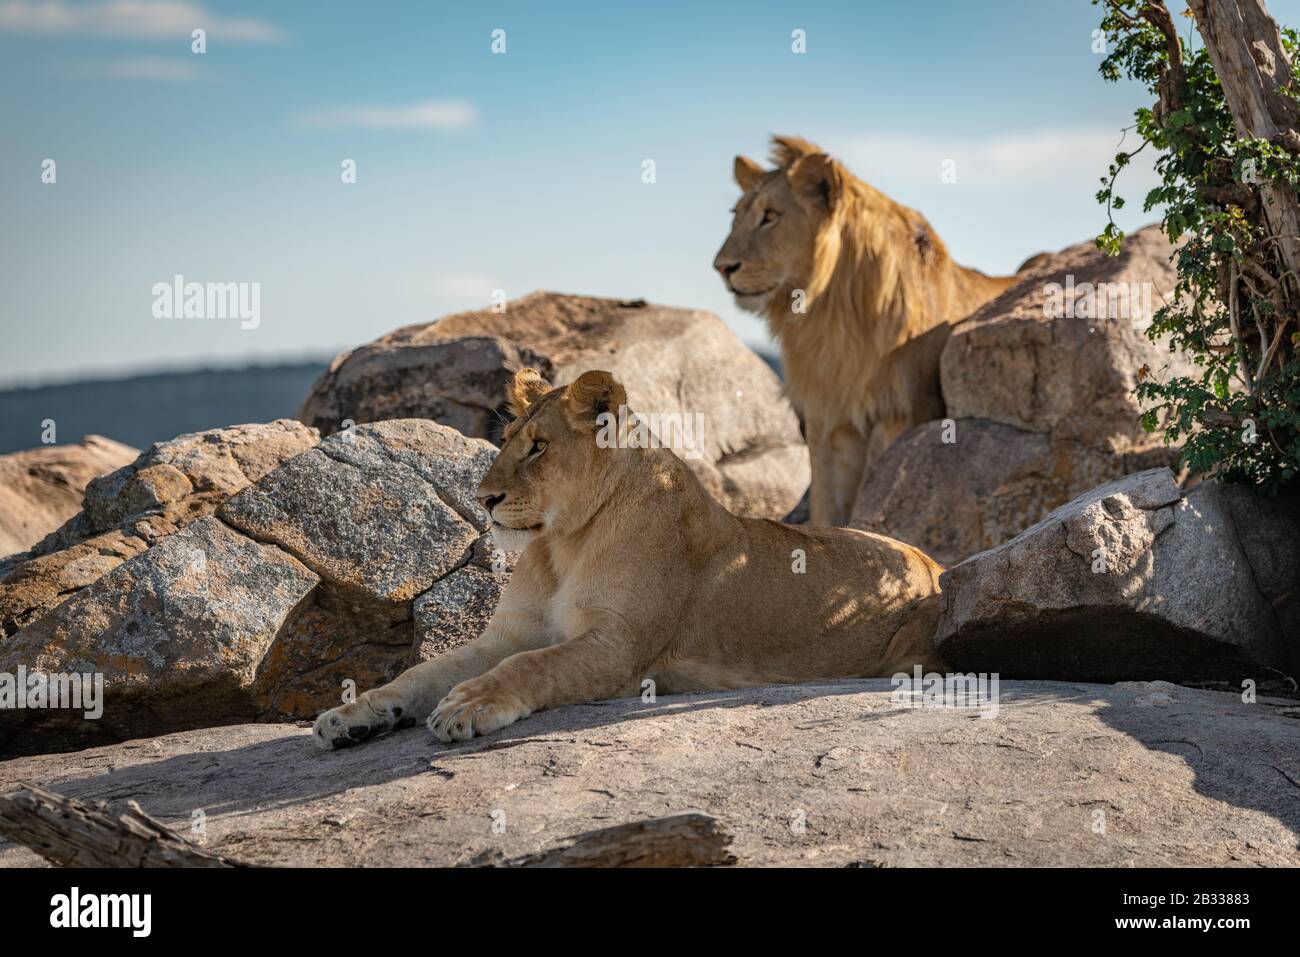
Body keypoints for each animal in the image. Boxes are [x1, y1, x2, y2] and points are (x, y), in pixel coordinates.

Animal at [313, 368, 946, 748]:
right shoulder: (505, 636)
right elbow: (418, 675)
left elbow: (531, 666)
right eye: (508, 439)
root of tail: (931, 563)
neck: (562, 545)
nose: (483, 498)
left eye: (538, 446)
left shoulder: (620, 647)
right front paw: (351, 715)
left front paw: (469, 704)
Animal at [713, 135, 1031, 527]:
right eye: (736, 216)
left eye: (770, 216)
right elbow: (827, 511)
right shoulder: (831, 422)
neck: (830, 318)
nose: (721, 267)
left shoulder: (902, 413)